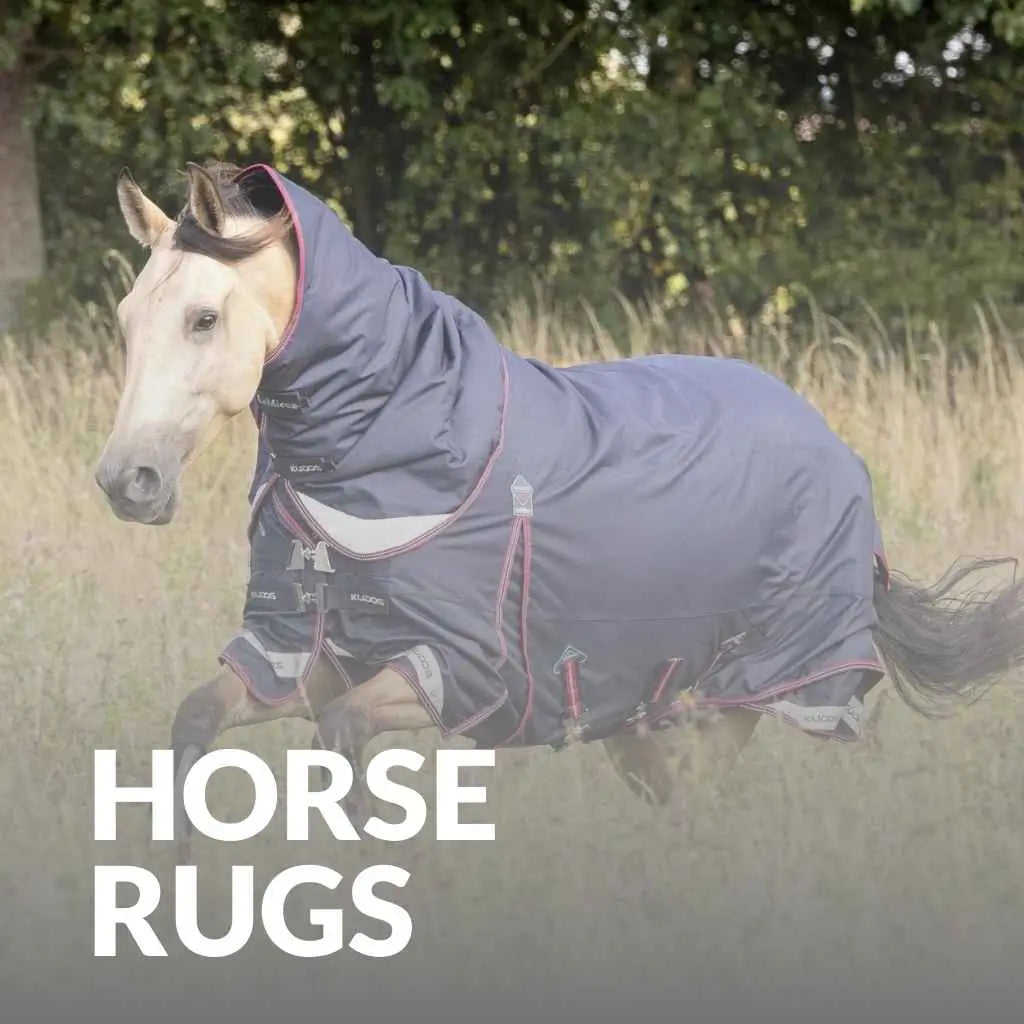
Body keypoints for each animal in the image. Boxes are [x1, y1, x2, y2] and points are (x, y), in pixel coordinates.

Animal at [95, 160, 1024, 851]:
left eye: (204, 318)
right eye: (128, 318)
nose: (126, 481)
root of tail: (838, 450)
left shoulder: (452, 669)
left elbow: (348, 747)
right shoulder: (300, 657)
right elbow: (198, 720)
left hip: (734, 703)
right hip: (643, 720)